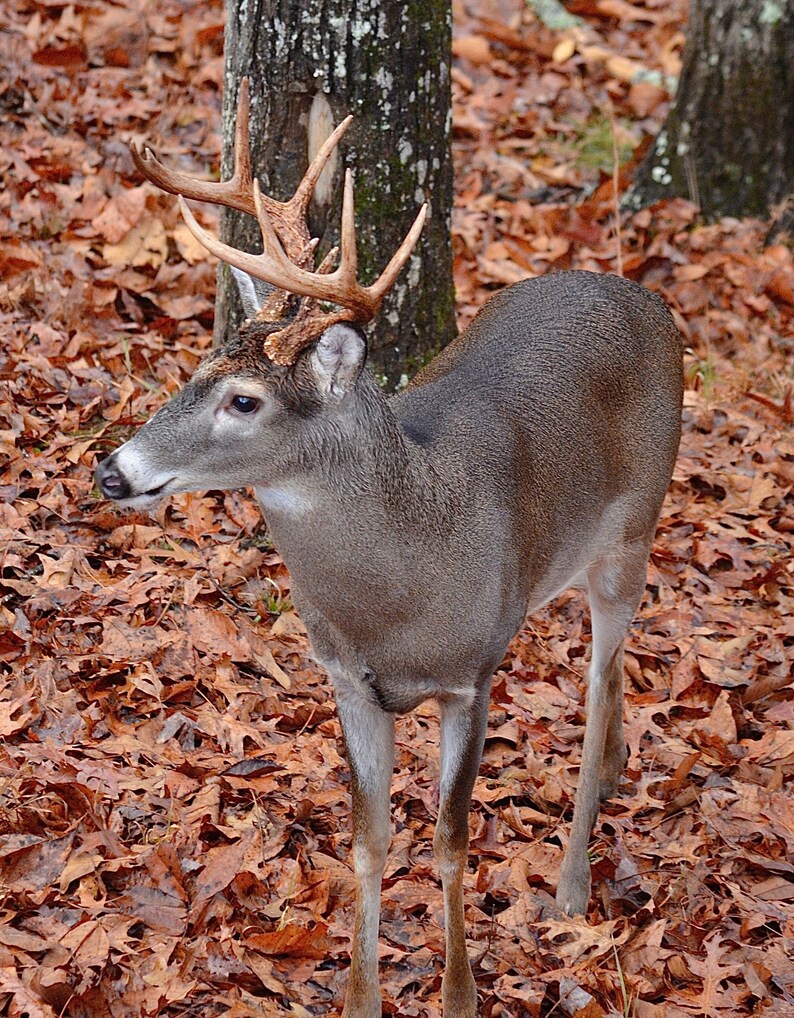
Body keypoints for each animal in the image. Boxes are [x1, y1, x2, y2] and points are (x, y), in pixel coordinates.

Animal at [95, 79, 683, 1018]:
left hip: (635, 525)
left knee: (597, 679)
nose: (113, 471)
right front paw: (360, 997)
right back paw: (621, 770)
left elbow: (448, 839)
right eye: (193, 372)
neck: (399, 594)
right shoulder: (346, 678)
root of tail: (641, 297)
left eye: (245, 400)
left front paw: (459, 994)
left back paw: (572, 882)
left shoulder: (470, 674)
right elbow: (369, 839)